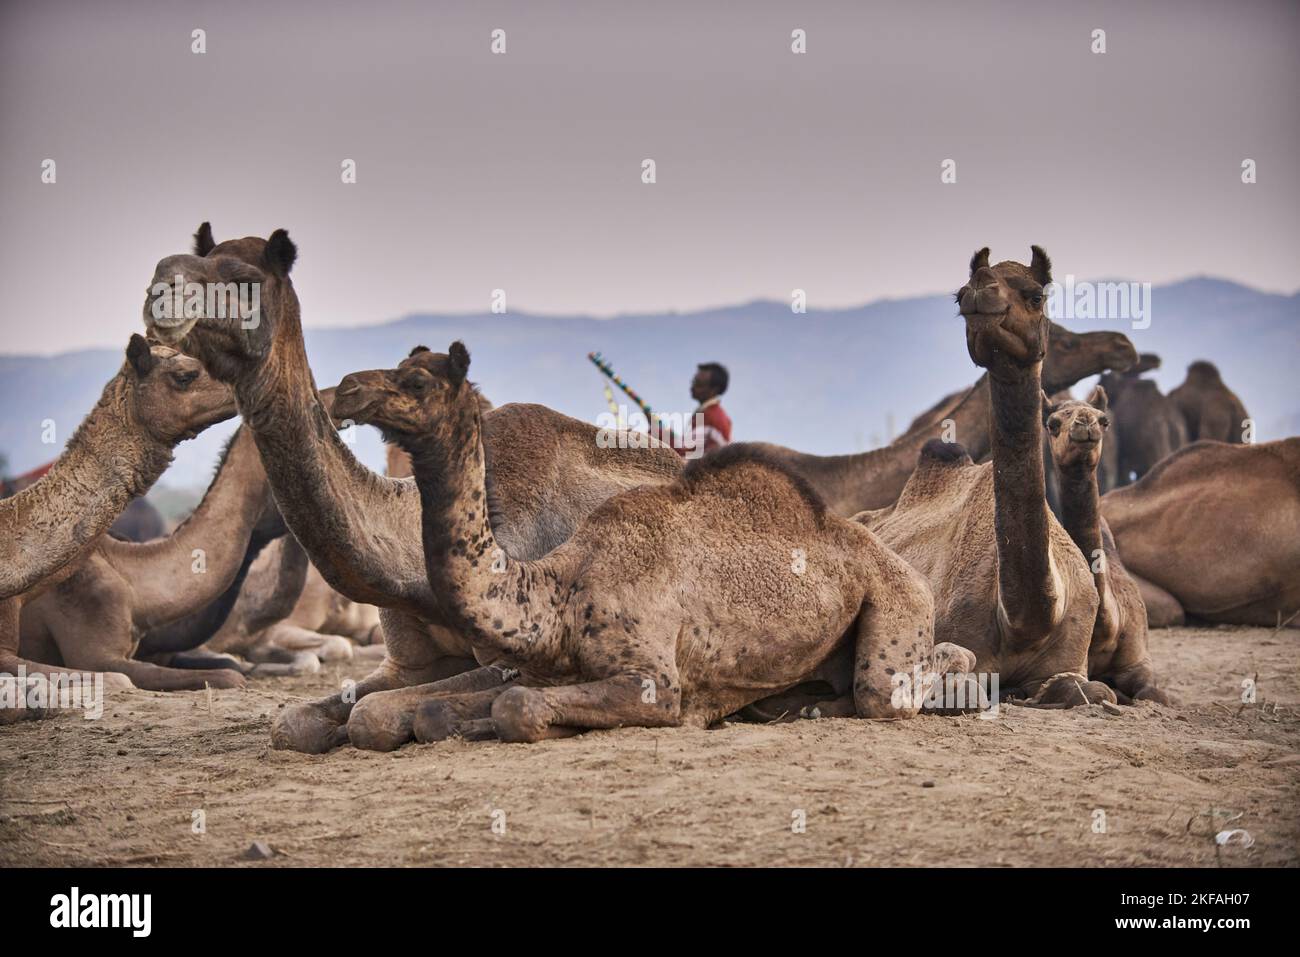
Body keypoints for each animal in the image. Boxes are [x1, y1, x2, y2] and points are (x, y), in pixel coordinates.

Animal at [332, 342, 972, 743]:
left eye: (416, 379)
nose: (344, 389)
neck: (558, 589)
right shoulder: (533, 668)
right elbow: (475, 704)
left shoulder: (653, 681)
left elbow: (515, 708)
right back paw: (806, 705)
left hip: (899, 600)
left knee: (885, 690)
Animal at [856, 247, 1116, 707]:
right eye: (960, 297)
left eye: (1035, 295)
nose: (980, 290)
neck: (1026, 621)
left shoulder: (1072, 654)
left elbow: (1092, 689)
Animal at [1042, 388, 1168, 702]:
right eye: (1052, 423)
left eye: (1104, 420)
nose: (1085, 423)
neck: (1107, 628)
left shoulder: (1139, 657)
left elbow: (1152, 693)